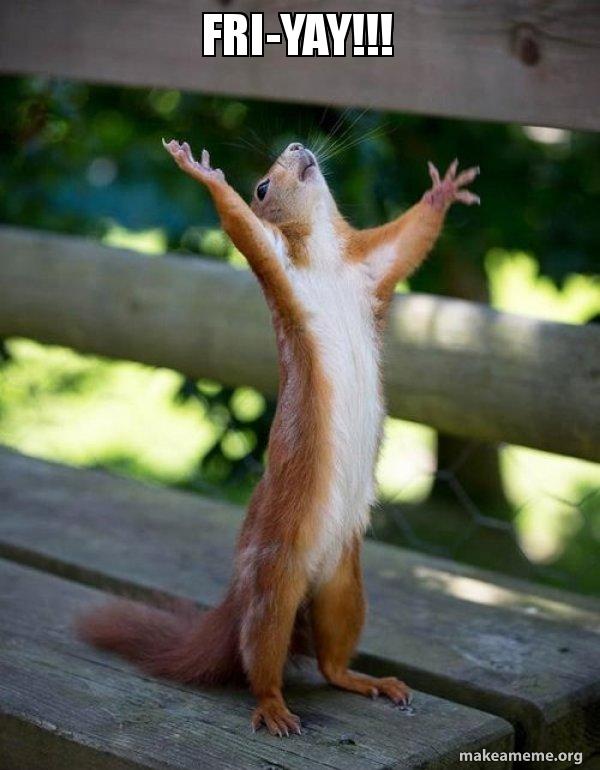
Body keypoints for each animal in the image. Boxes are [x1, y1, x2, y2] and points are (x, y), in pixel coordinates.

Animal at [78, 138, 479, 737]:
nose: (296, 146)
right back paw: (273, 707)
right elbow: (241, 227)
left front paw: (443, 191)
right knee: (261, 657)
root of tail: (239, 596)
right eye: (262, 186)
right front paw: (204, 174)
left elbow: (408, 241)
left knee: (332, 660)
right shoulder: (277, 265)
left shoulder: (371, 267)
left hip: (344, 586)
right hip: (274, 583)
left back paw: (367, 681)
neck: (327, 258)